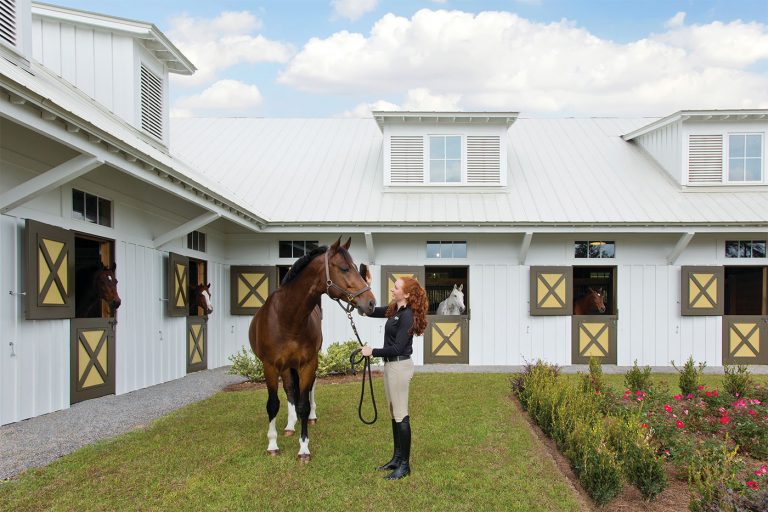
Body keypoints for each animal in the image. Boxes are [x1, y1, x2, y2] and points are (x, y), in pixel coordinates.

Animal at [249, 237, 376, 461]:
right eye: (344, 268)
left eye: (355, 267)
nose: (370, 302)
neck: (287, 318)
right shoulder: (270, 366)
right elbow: (273, 404)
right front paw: (272, 444)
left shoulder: (308, 363)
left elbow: (304, 404)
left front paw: (304, 449)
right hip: (285, 367)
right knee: (289, 390)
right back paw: (290, 426)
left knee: (306, 391)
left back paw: (308, 419)